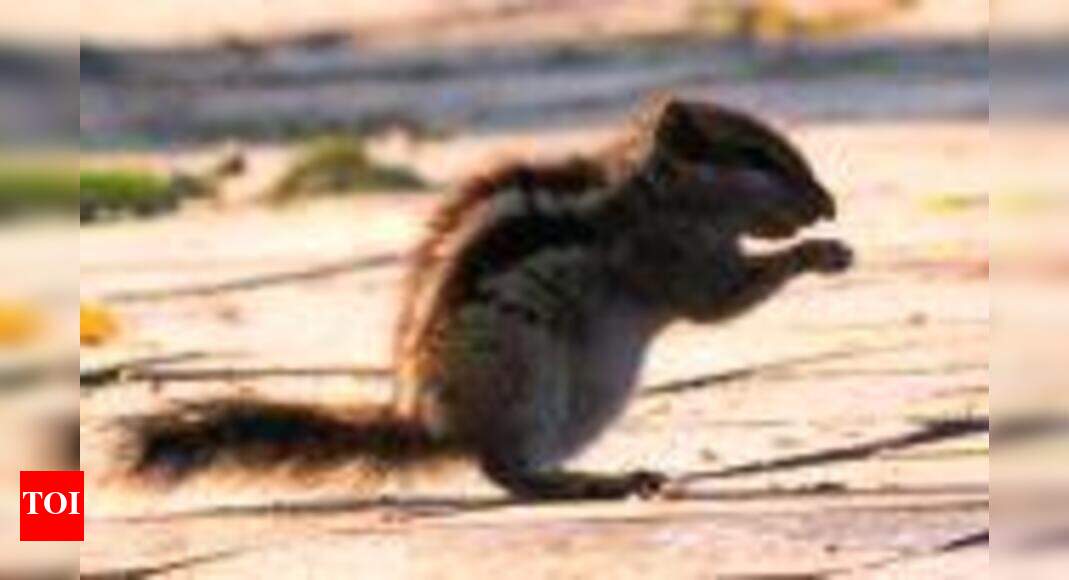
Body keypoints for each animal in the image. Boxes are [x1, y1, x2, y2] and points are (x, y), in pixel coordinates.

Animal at [125, 98, 853, 500]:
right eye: (755, 157)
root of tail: (430, 424)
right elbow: (718, 300)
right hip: (525, 370)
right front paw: (820, 253)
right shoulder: (667, 256)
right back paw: (584, 484)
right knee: (502, 468)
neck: (650, 195)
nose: (828, 204)